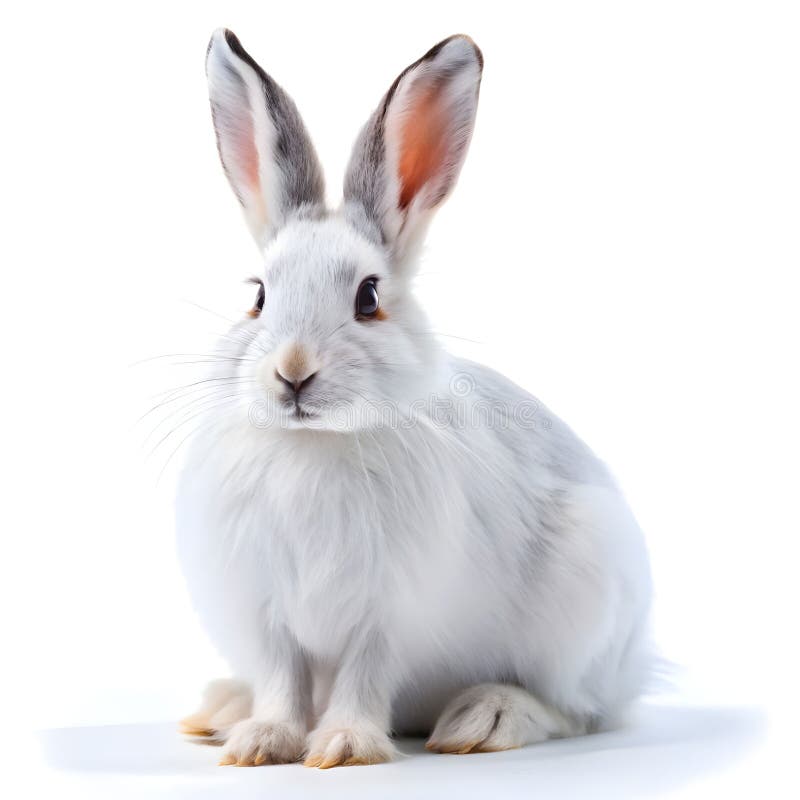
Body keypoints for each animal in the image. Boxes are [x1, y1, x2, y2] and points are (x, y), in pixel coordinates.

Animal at [176, 29, 653, 769]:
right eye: (258, 296)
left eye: (368, 297)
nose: (292, 371)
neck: (315, 443)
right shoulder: (267, 613)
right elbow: (283, 680)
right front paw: (263, 742)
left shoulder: (389, 615)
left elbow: (365, 676)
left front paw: (344, 746)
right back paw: (224, 709)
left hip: (585, 607)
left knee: (578, 712)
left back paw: (486, 718)